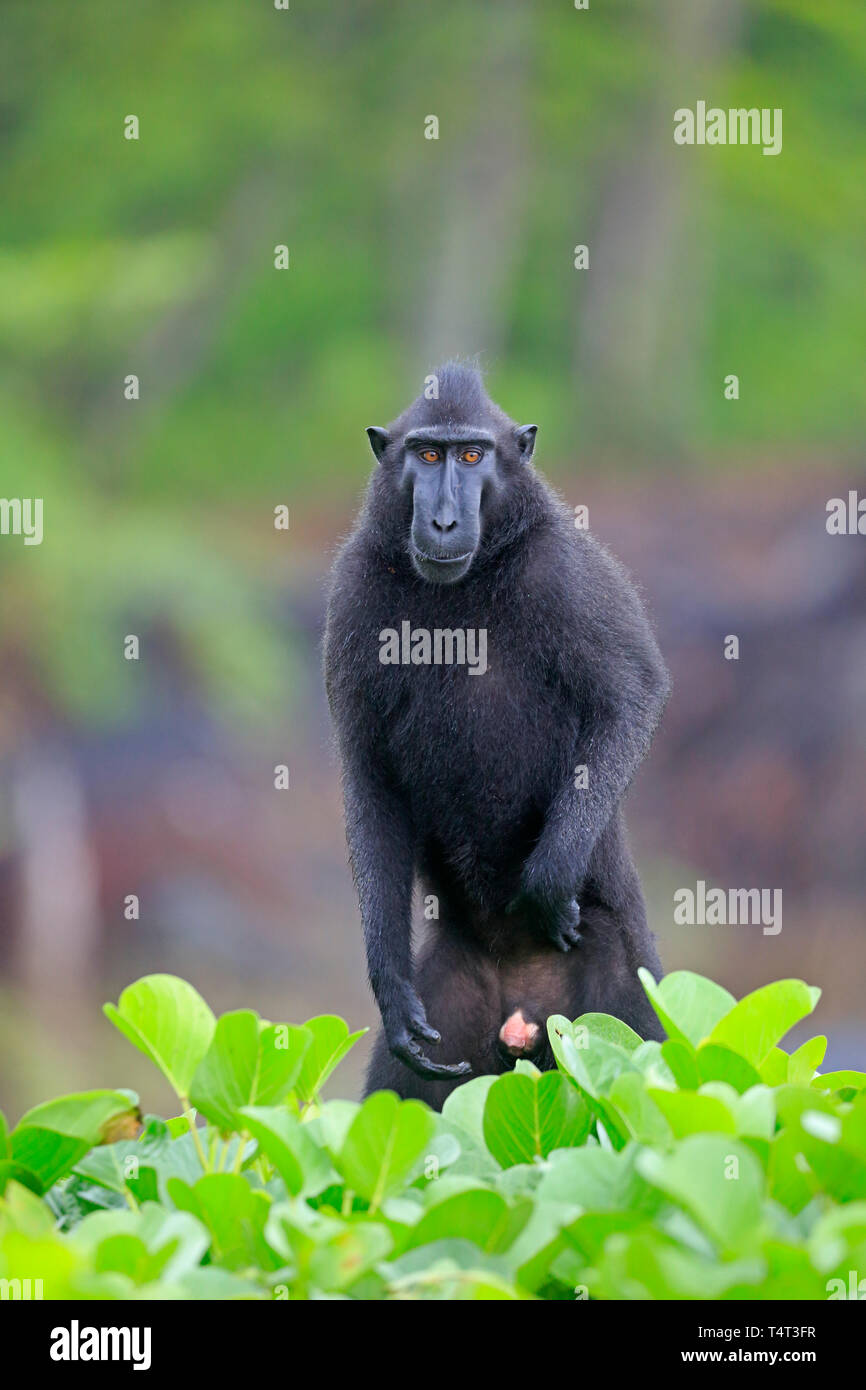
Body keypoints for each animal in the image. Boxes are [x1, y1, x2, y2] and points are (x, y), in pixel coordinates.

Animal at [323, 363, 670, 1108]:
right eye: (428, 455)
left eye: (473, 456)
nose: (444, 521)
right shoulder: (354, 589)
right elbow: (368, 772)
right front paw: (388, 987)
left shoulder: (563, 568)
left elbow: (630, 697)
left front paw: (546, 882)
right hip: (454, 1015)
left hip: (620, 1017)